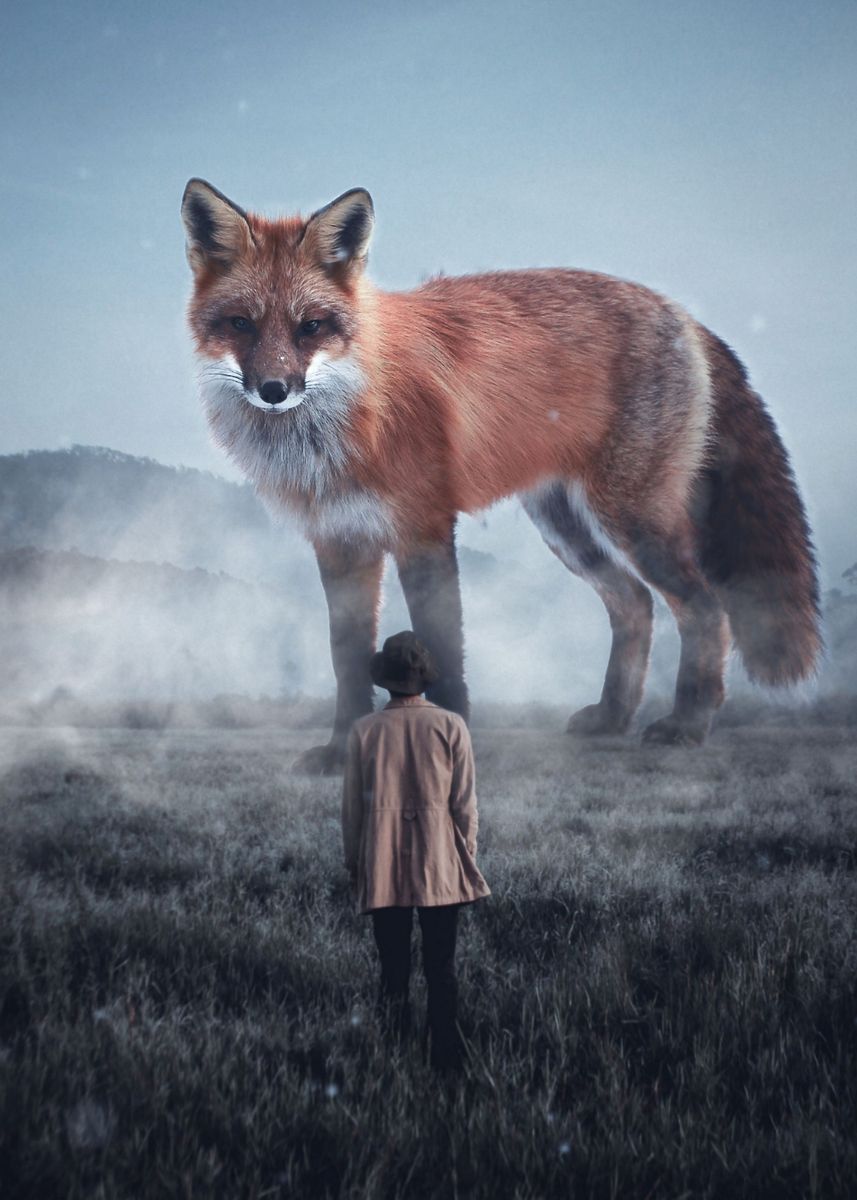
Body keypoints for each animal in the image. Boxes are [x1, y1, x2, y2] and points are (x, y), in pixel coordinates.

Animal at [181, 179, 821, 771]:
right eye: (240, 324)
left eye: (310, 327)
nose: (274, 390)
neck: (345, 424)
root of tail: (680, 311)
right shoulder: (340, 542)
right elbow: (347, 661)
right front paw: (342, 751)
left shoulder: (424, 529)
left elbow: (441, 647)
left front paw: (449, 740)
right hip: (566, 528)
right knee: (635, 604)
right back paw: (613, 717)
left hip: (633, 518)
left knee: (705, 608)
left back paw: (687, 725)